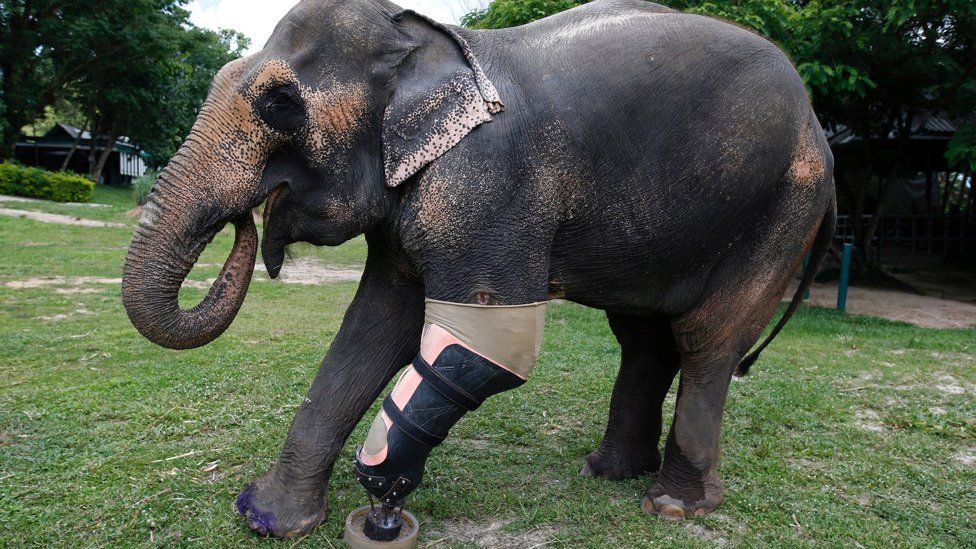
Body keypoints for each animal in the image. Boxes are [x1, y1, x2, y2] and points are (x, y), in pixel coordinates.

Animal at [121, 0, 836, 539]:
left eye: (278, 104)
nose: (247, 221)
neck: (427, 42)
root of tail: (817, 127)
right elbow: (375, 328)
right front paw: (268, 519)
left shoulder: (490, 185)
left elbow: (491, 346)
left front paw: (382, 483)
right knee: (643, 336)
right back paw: (609, 472)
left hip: (783, 205)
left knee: (707, 337)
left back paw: (673, 505)